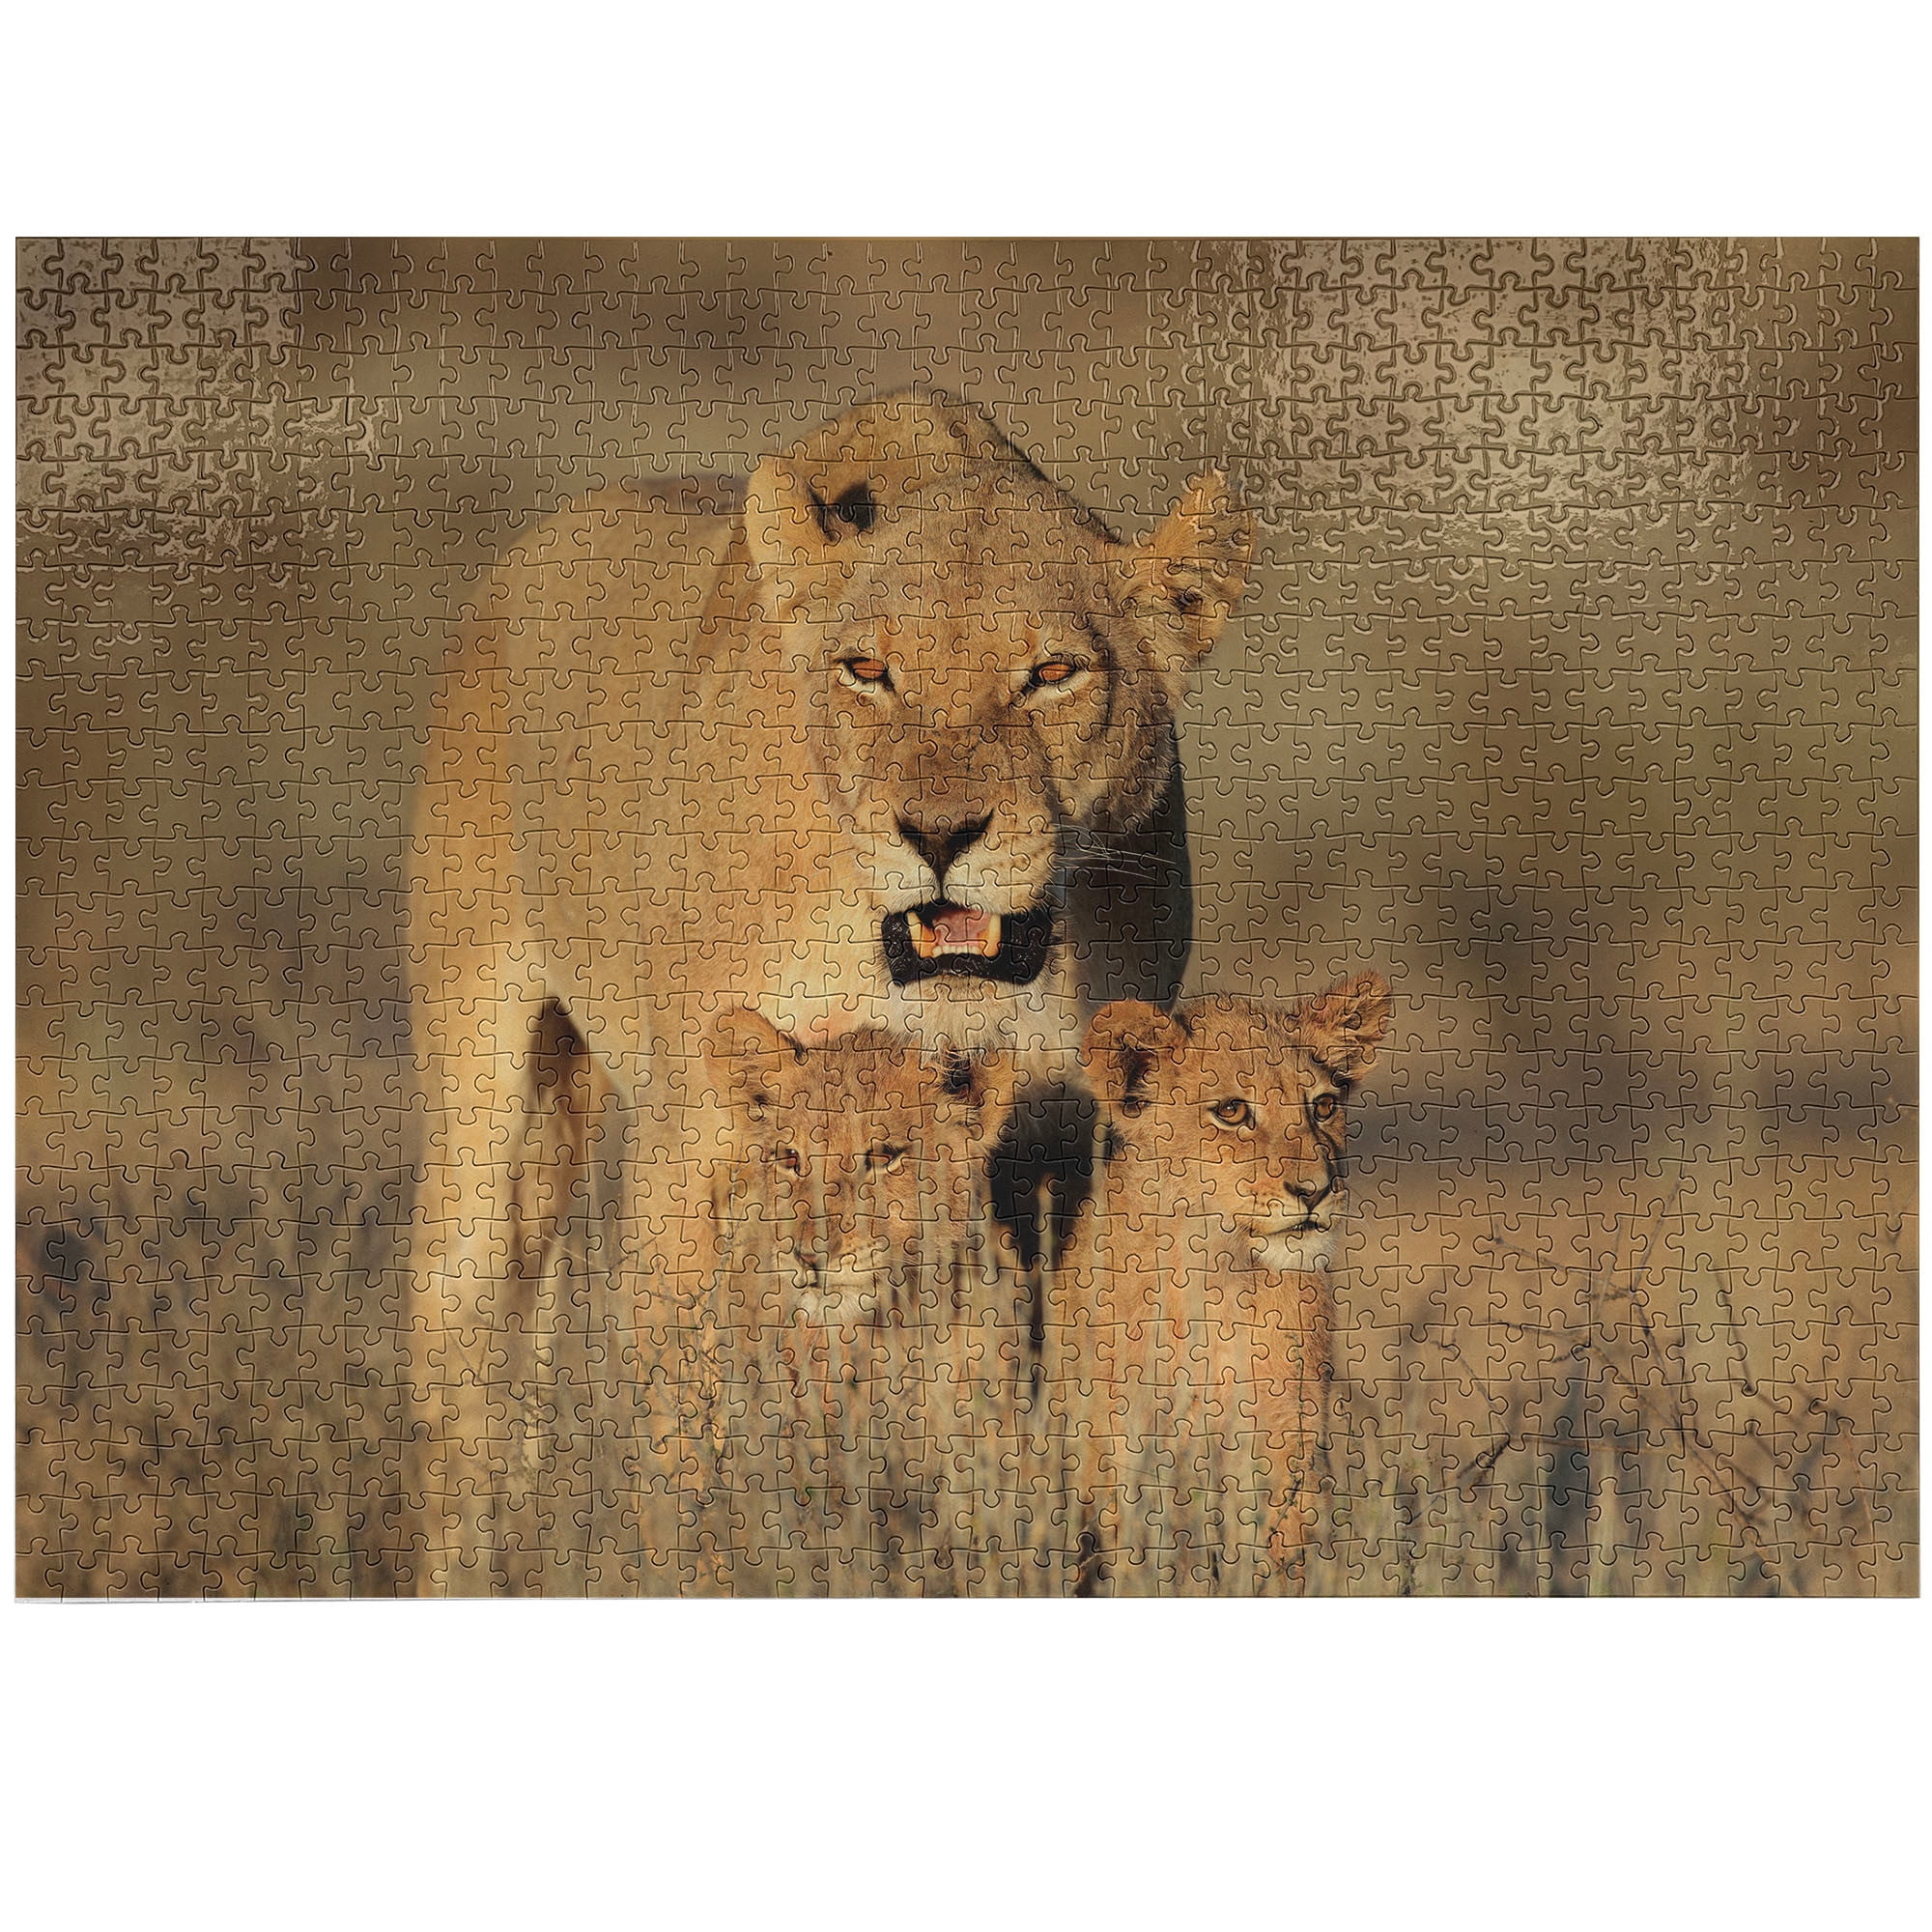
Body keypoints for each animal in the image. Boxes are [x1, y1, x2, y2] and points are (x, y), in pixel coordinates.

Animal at [405, 389, 1254, 1590]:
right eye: (866, 671)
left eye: (1052, 673)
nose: (937, 835)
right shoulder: (697, 1137)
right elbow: (689, 1434)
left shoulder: (1057, 1145)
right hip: (485, 1075)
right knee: (468, 1335)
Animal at [1055, 974, 1392, 1594]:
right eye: (1232, 1111)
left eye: (1324, 1106)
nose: (1315, 1190)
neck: (1220, 1281)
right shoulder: (1119, 1442)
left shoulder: (1287, 1440)